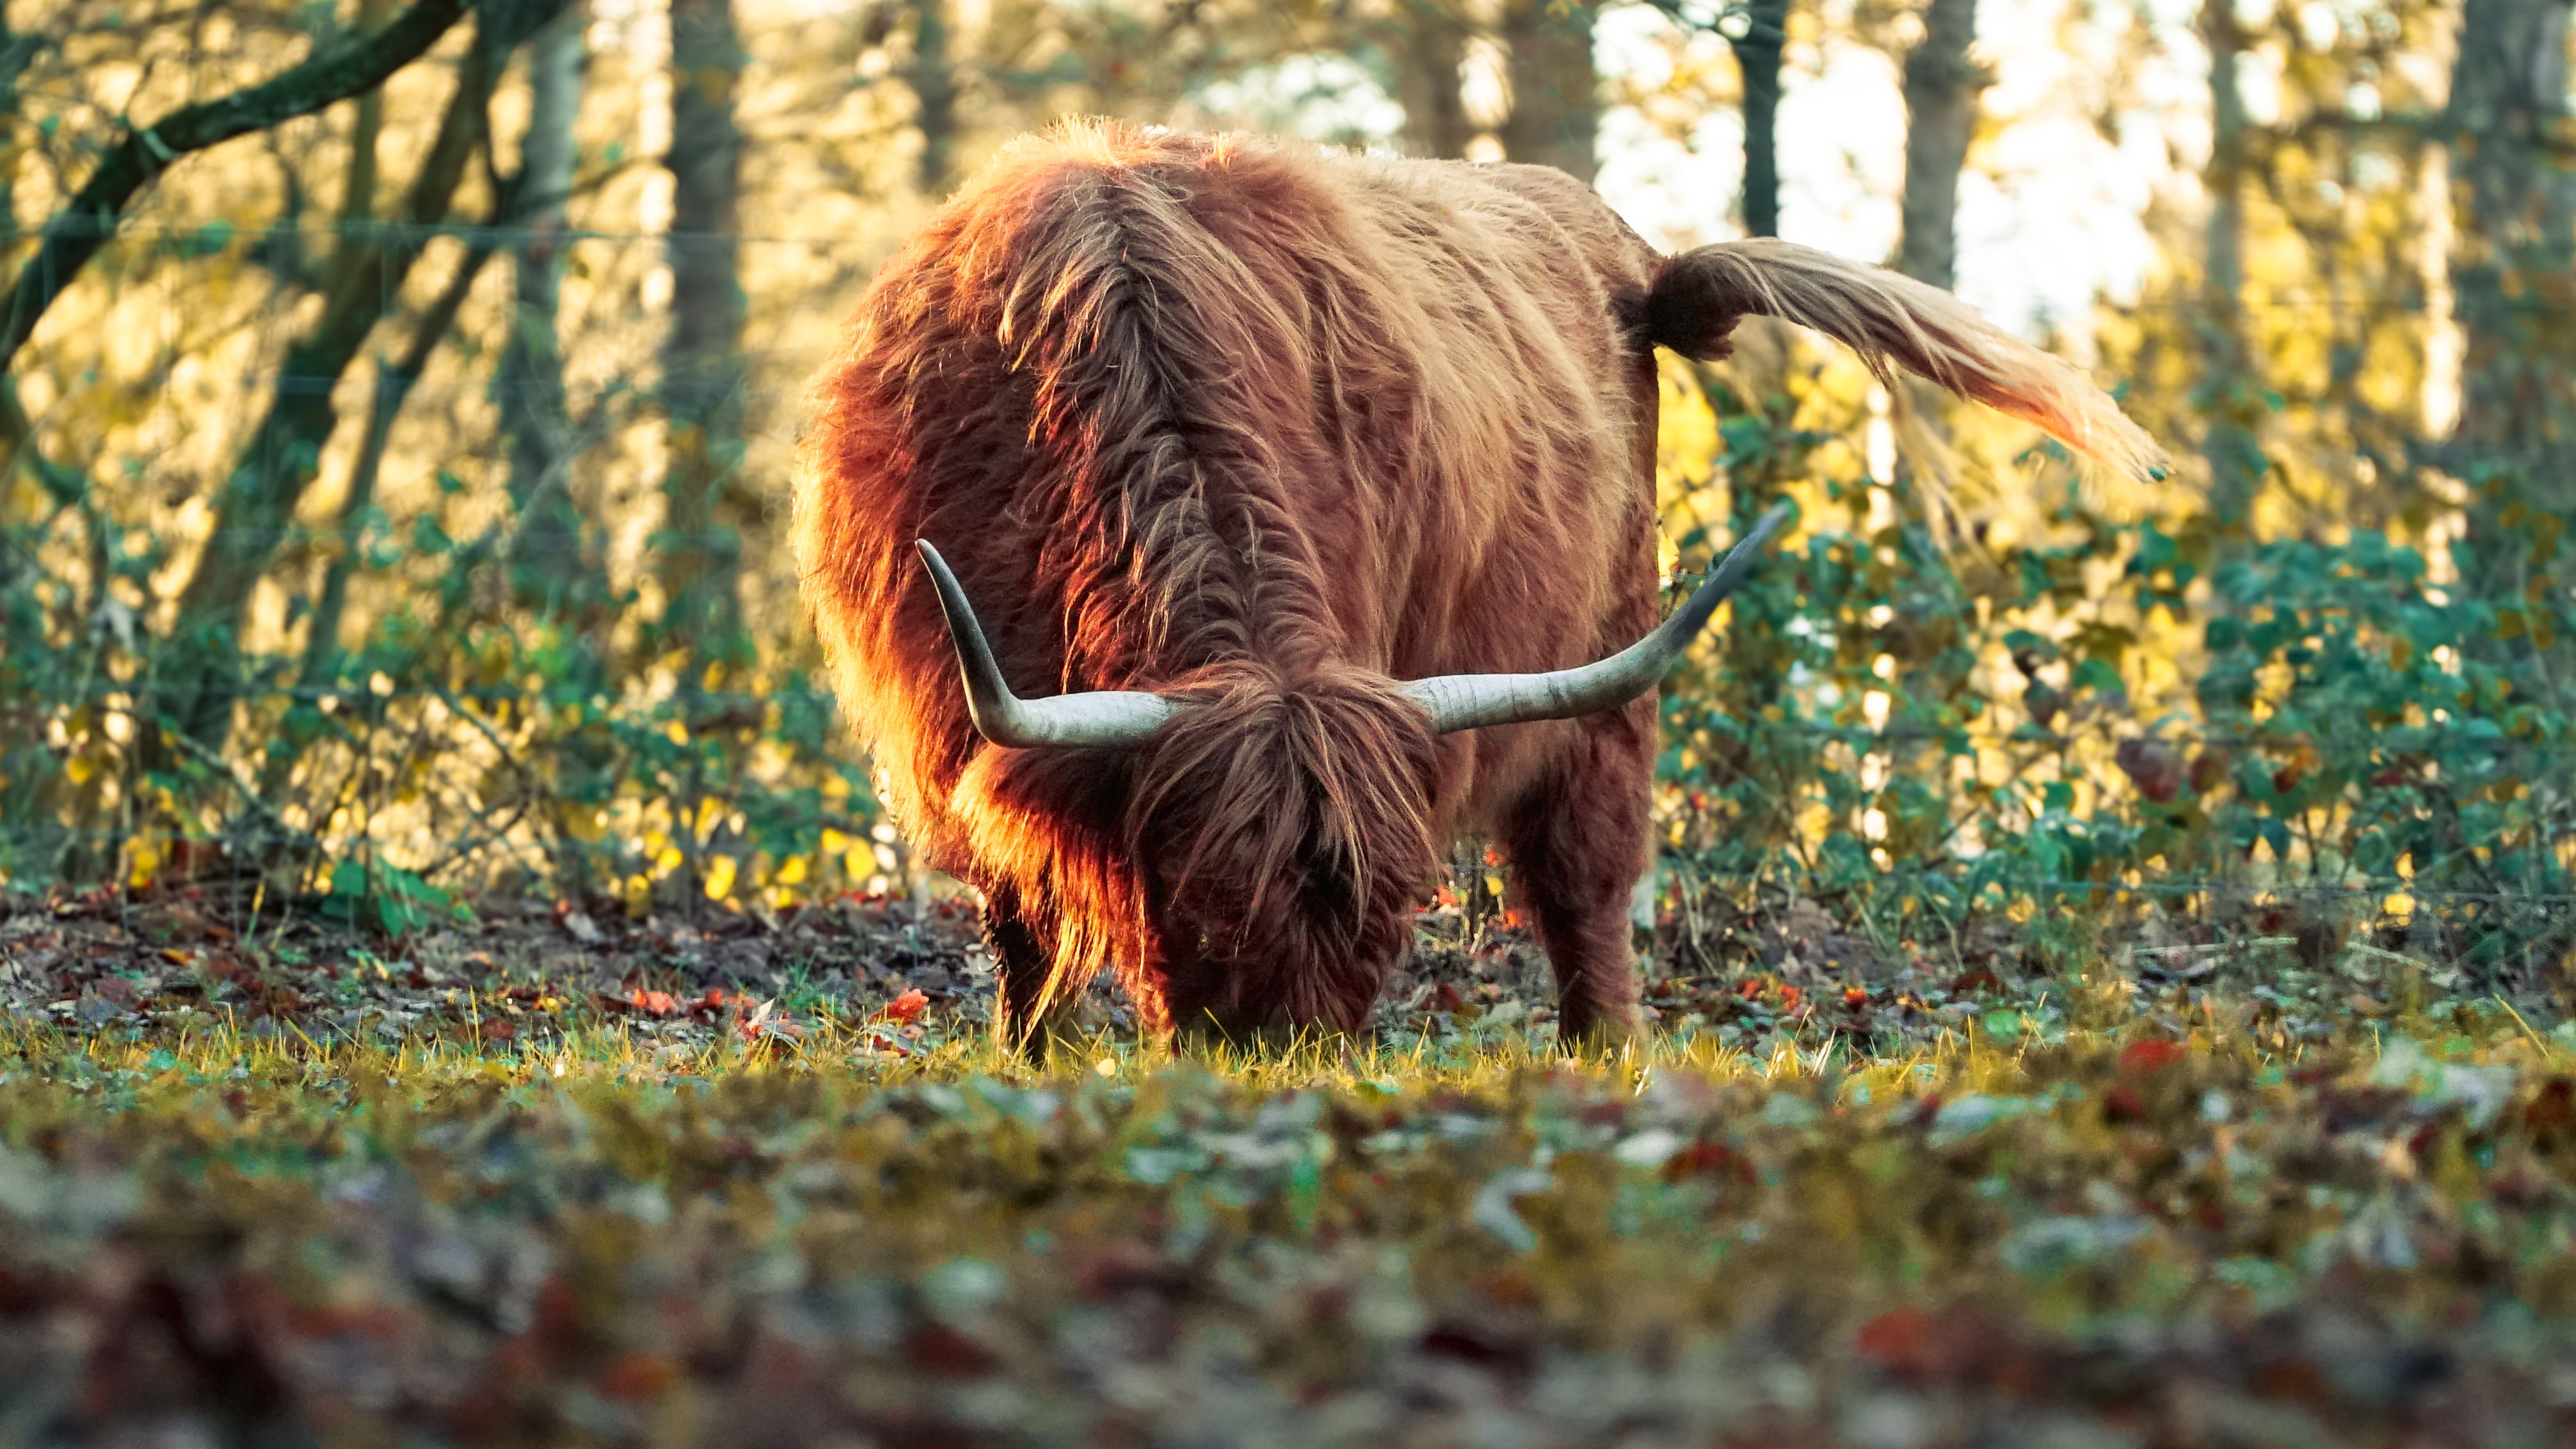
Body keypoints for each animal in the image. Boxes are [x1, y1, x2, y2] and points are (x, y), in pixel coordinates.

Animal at [794, 121, 2160, 1052]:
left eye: (1385, 917)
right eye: (1201, 894)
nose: (1285, 1059)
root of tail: (1635, 254)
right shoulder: (953, 715)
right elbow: (1021, 921)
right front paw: (1031, 1060)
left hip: (1607, 665)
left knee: (1587, 877)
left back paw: (1601, 1051)